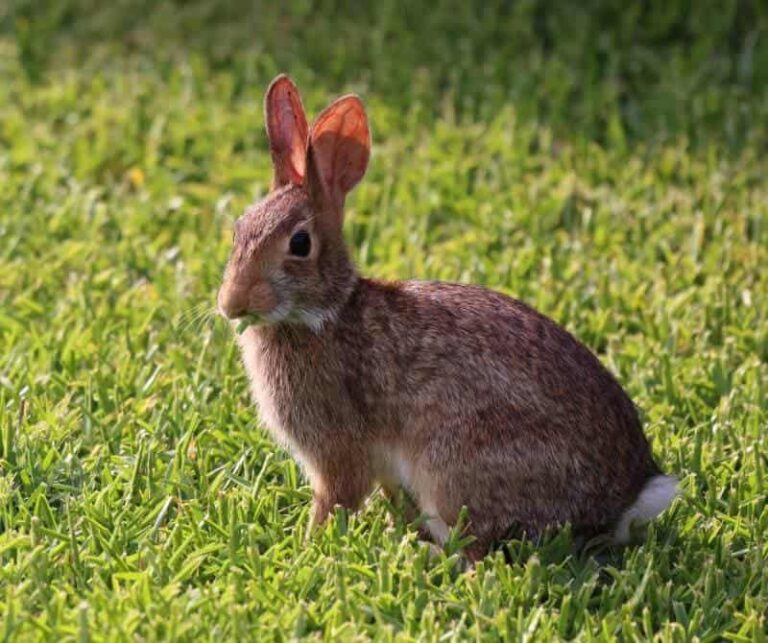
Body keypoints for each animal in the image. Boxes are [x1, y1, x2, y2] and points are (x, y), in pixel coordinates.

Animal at [217, 74, 678, 561]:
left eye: (300, 244)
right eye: (239, 228)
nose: (230, 304)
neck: (327, 312)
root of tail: (625, 502)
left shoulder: (337, 450)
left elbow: (336, 499)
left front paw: (307, 547)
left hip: (455, 466)